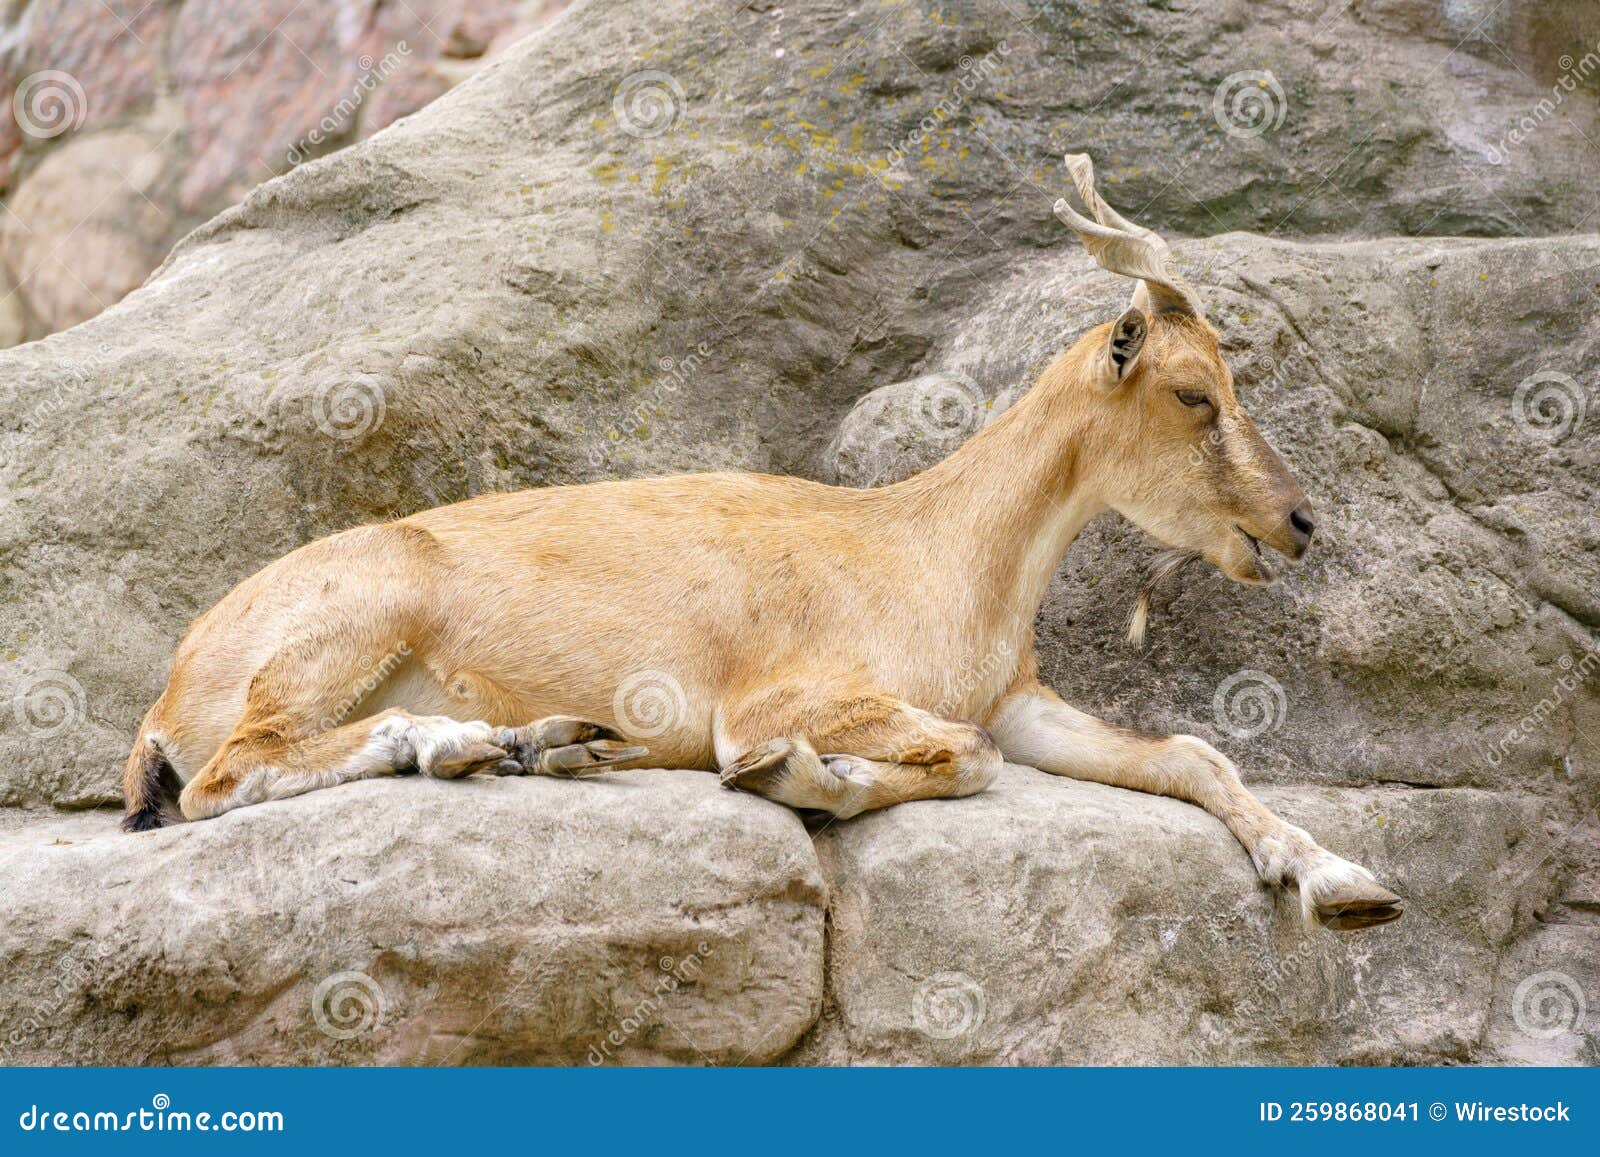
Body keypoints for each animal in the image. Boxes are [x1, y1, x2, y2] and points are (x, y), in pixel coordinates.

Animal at [121, 154, 1401, 931]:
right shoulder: (792, 692)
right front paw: (800, 778)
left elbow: (1189, 750)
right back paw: (479, 744)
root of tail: (172, 687)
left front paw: (1344, 879)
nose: (1297, 521)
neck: (935, 548)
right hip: (352, 621)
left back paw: (539, 742)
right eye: (1193, 392)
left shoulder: (1019, 698)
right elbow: (949, 755)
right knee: (233, 771)